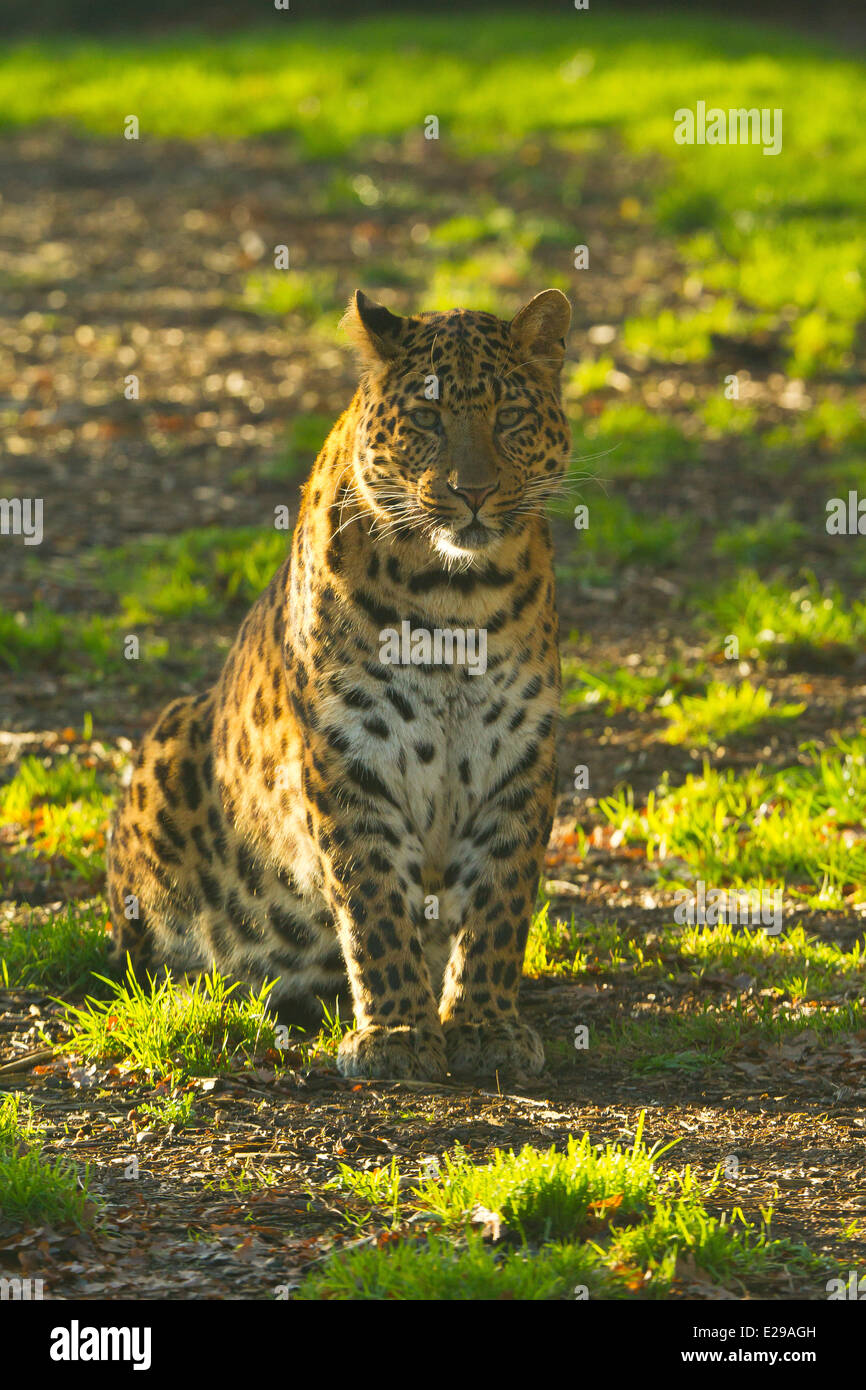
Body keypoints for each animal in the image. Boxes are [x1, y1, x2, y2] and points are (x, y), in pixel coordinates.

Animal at [107, 286, 572, 1081]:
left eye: (510, 416)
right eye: (428, 419)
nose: (473, 492)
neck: (458, 598)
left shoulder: (520, 760)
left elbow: (498, 906)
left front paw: (485, 1026)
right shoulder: (349, 756)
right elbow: (375, 903)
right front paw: (398, 1035)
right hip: (166, 744)